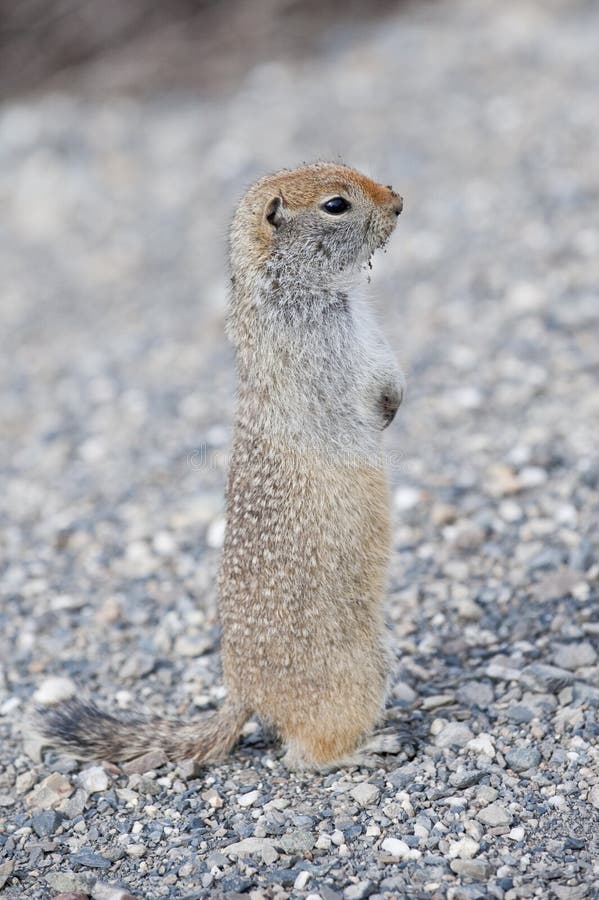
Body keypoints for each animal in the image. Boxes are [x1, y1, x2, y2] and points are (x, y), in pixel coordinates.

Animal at [37, 162, 404, 770]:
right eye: (335, 205)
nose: (399, 203)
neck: (288, 285)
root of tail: (243, 694)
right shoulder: (324, 340)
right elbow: (367, 376)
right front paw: (387, 405)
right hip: (359, 675)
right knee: (303, 754)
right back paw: (365, 750)